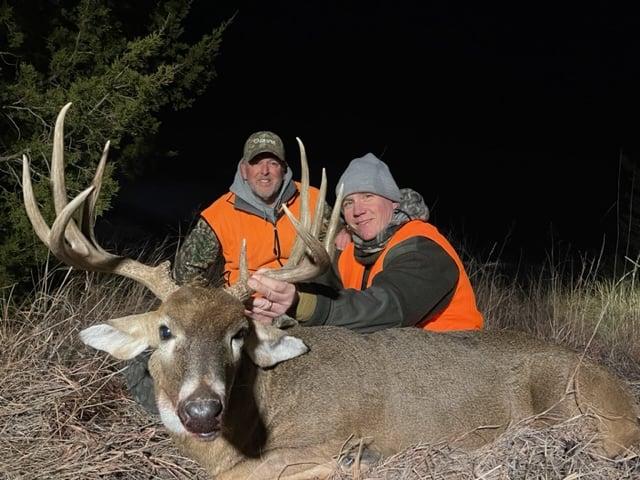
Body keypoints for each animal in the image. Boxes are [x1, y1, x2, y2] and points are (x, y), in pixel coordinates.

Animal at [23, 103, 640, 480]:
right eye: (165, 330)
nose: (200, 410)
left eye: (239, 334)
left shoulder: (322, 440)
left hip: (585, 415)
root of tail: (623, 393)